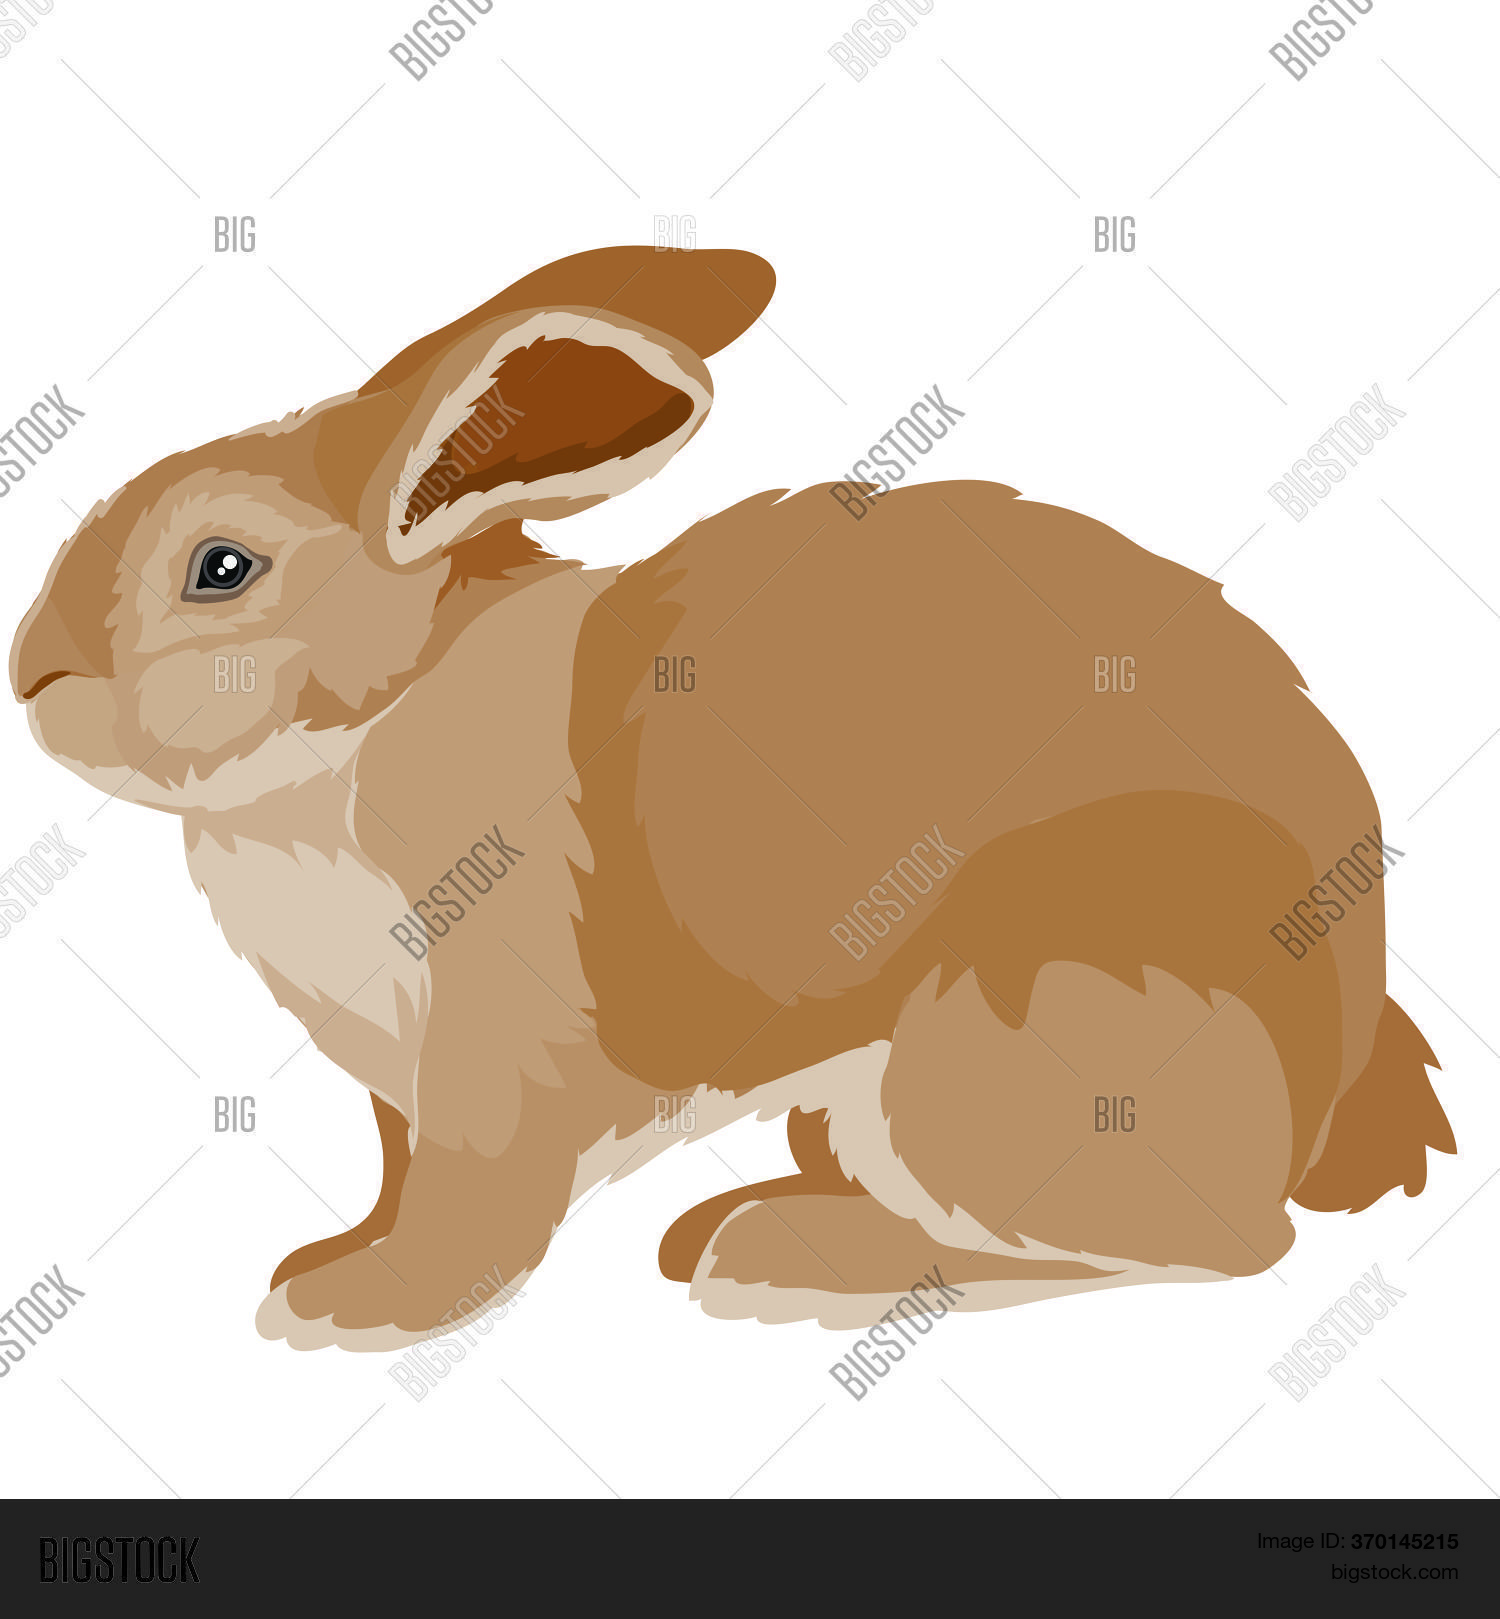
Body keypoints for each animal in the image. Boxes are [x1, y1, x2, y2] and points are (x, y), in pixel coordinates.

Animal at [11, 245, 1455, 1350]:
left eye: (221, 567)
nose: (30, 673)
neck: (372, 718)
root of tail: (1327, 1089)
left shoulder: (492, 1043)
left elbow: (478, 1206)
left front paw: (356, 1308)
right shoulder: (396, 1088)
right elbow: (397, 1176)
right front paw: (331, 1258)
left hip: (1002, 1026)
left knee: (1217, 1244)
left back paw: (789, 1256)